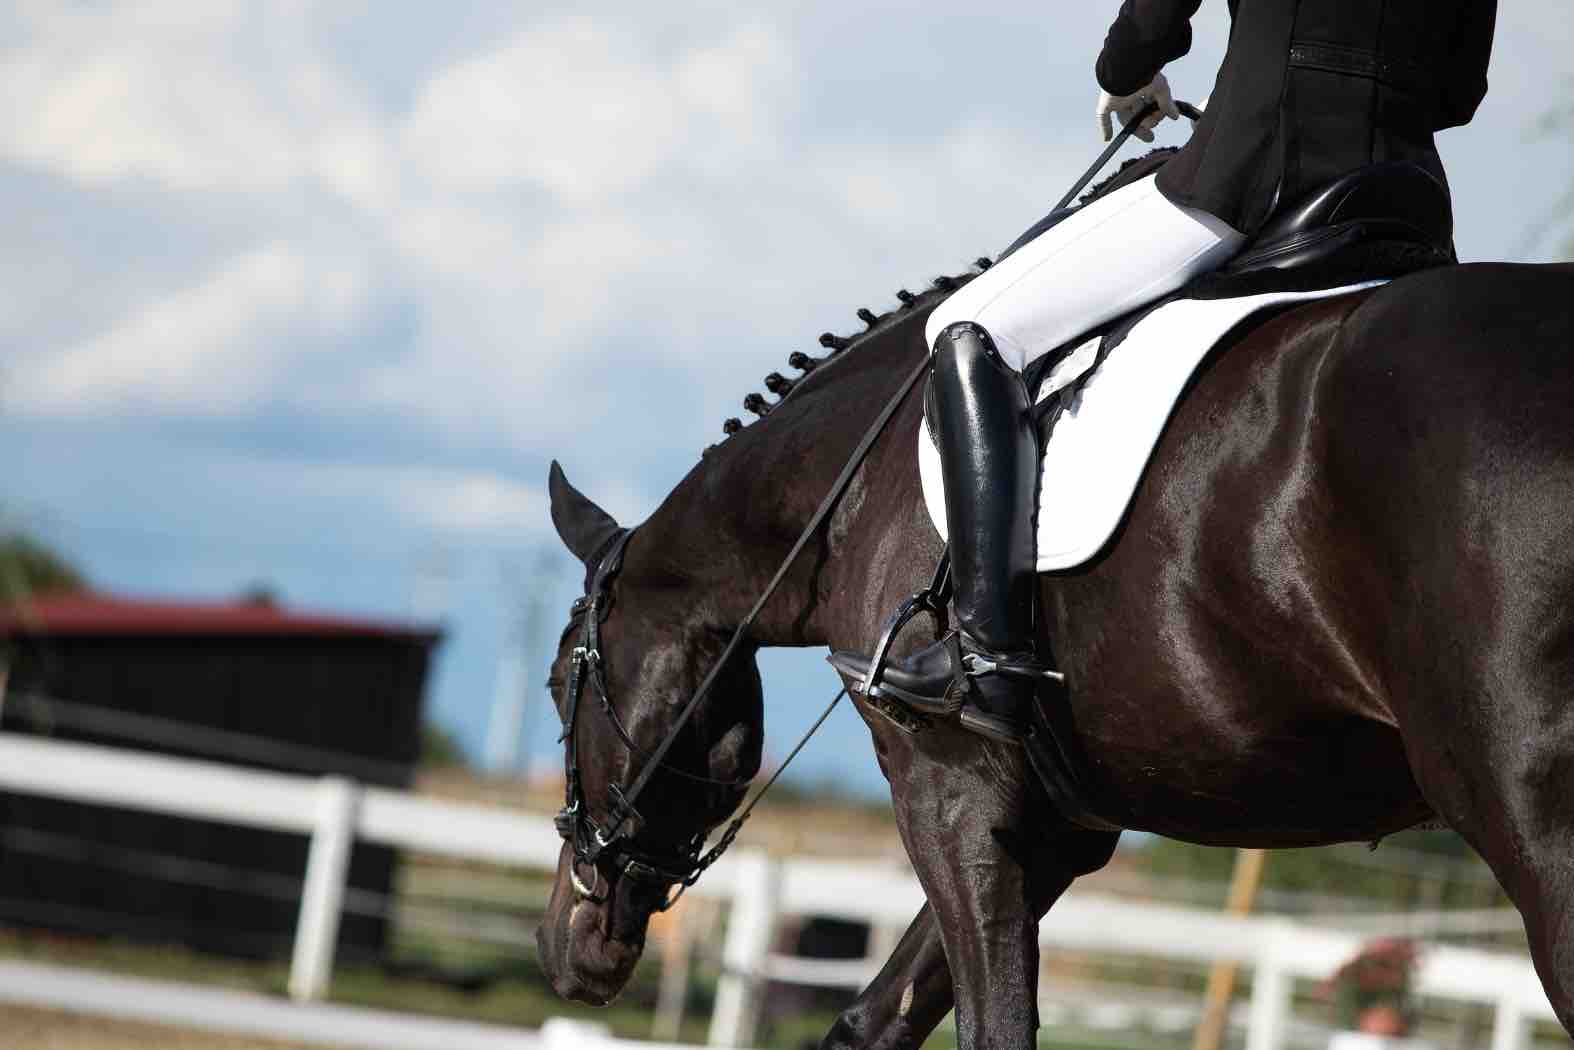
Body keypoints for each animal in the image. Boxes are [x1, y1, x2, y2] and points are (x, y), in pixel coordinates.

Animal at [534, 243, 1574, 1047]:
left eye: (556, 686)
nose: (564, 948)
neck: (852, 485)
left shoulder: (946, 787)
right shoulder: (1056, 824)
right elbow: (870, 1022)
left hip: (1534, 821)